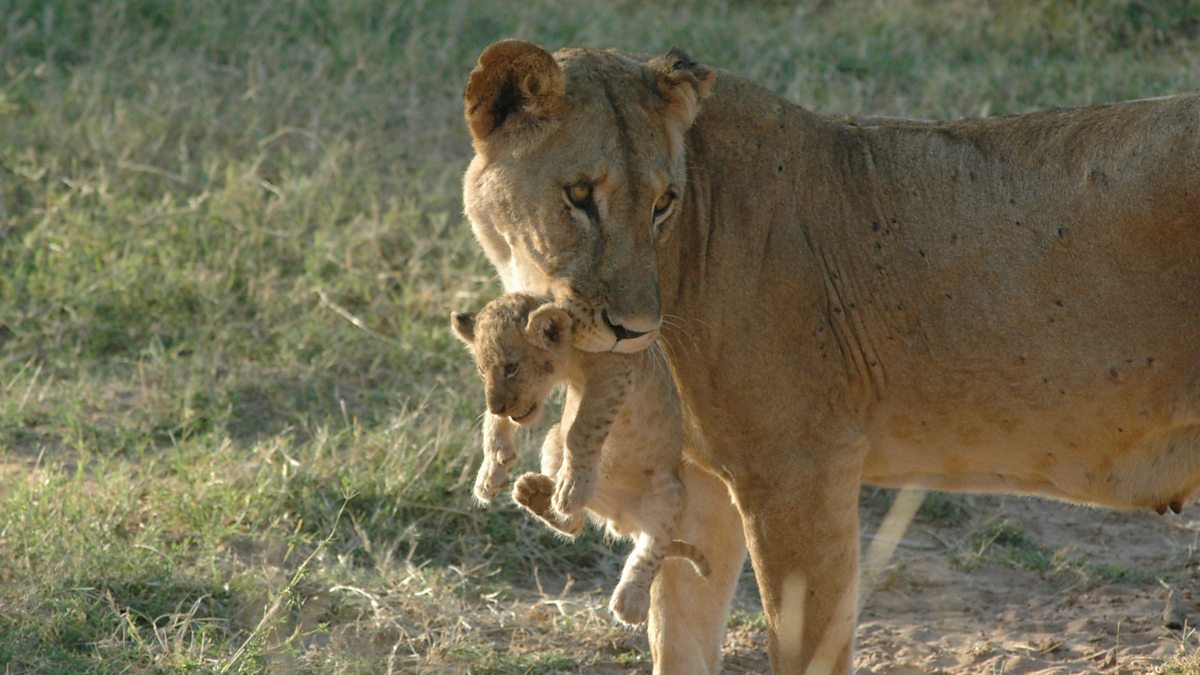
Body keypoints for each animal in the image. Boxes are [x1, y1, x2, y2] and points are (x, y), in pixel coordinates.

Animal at [450, 292, 715, 626]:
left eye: (512, 368)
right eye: (482, 372)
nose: (497, 405)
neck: (572, 363)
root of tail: (618, 519)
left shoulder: (613, 373)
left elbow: (581, 428)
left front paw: (573, 489)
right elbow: (494, 425)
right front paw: (490, 474)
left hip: (668, 492)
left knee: (652, 546)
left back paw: (630, 600)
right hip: (552, 440)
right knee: (574, 524)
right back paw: (538, 495)